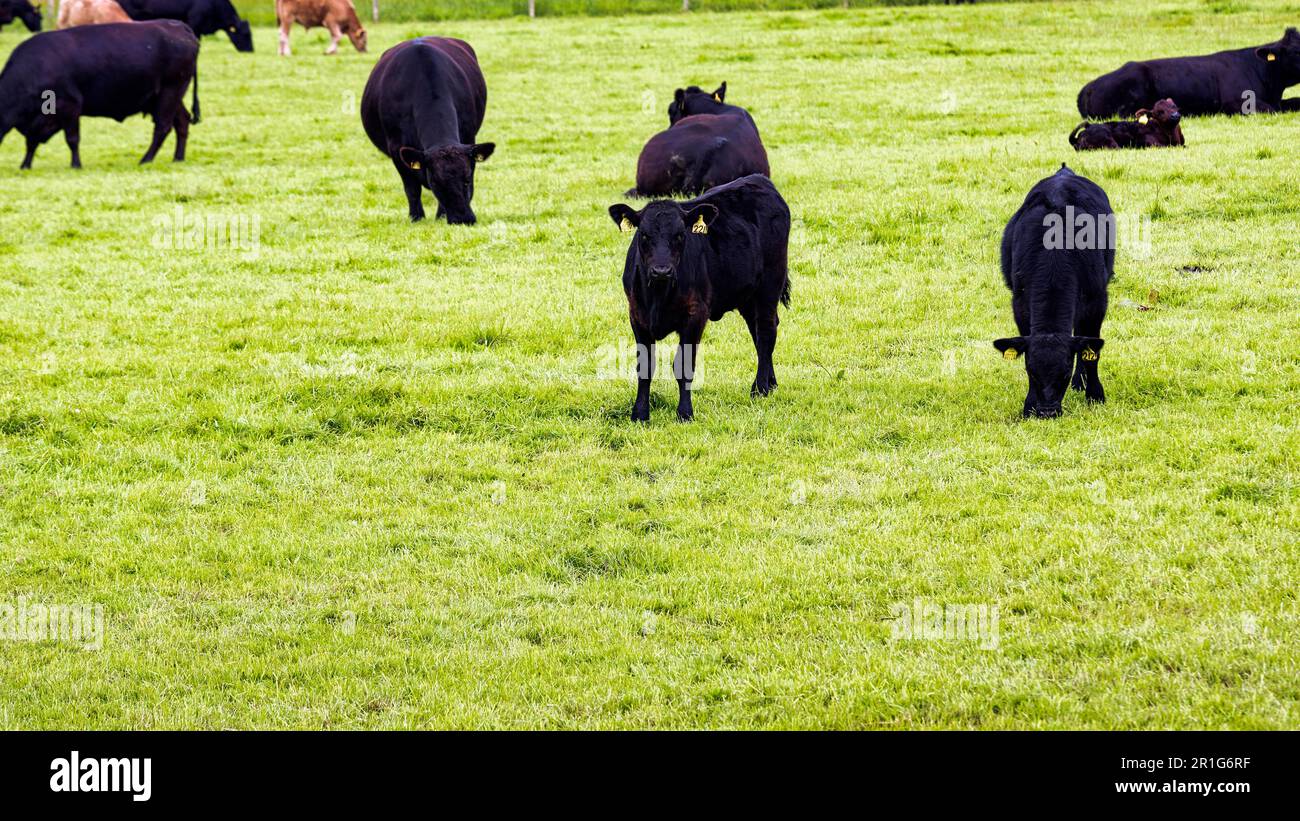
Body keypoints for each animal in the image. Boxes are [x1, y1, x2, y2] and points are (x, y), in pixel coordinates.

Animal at [0, 20, 200, 169]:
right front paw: (25, 165)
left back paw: (146, 160)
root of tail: (178, 26)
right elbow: (31, 141)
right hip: (168, 97)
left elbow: (72, 138)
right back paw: (178, 158)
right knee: (182, 121)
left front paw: (76, 165)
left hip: (170, 92)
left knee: (162, 126)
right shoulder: (40, 120)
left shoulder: (70, 105)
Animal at [361, 37, 494, 224]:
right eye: (436, 182)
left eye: (467, 179)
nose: (463, 219)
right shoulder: (396, 149)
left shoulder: (469, 139)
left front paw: (440, 216)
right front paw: (416, 217)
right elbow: (412, 188)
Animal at [607, 174, 791, 422]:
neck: (659, 296)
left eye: (680, 235)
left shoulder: (695, 315)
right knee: (758, 333)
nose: (661, 270)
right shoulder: (637, 315)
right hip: (746, 295)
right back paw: (771, 384)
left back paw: (760, 388)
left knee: (765, 332)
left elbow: (684, 365)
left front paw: (685, 413)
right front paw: (639, 414)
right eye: (643, 235)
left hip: (770, 285)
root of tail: (760, 179)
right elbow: (645, 367)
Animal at [994, 165, 1113, 418]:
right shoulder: (1020, 304)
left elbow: (1091, 352)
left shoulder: (1097, 300)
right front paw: (1029, 405)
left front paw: (1095, 395)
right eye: (1031, 370)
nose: (1047, 412)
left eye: (1065, 372)